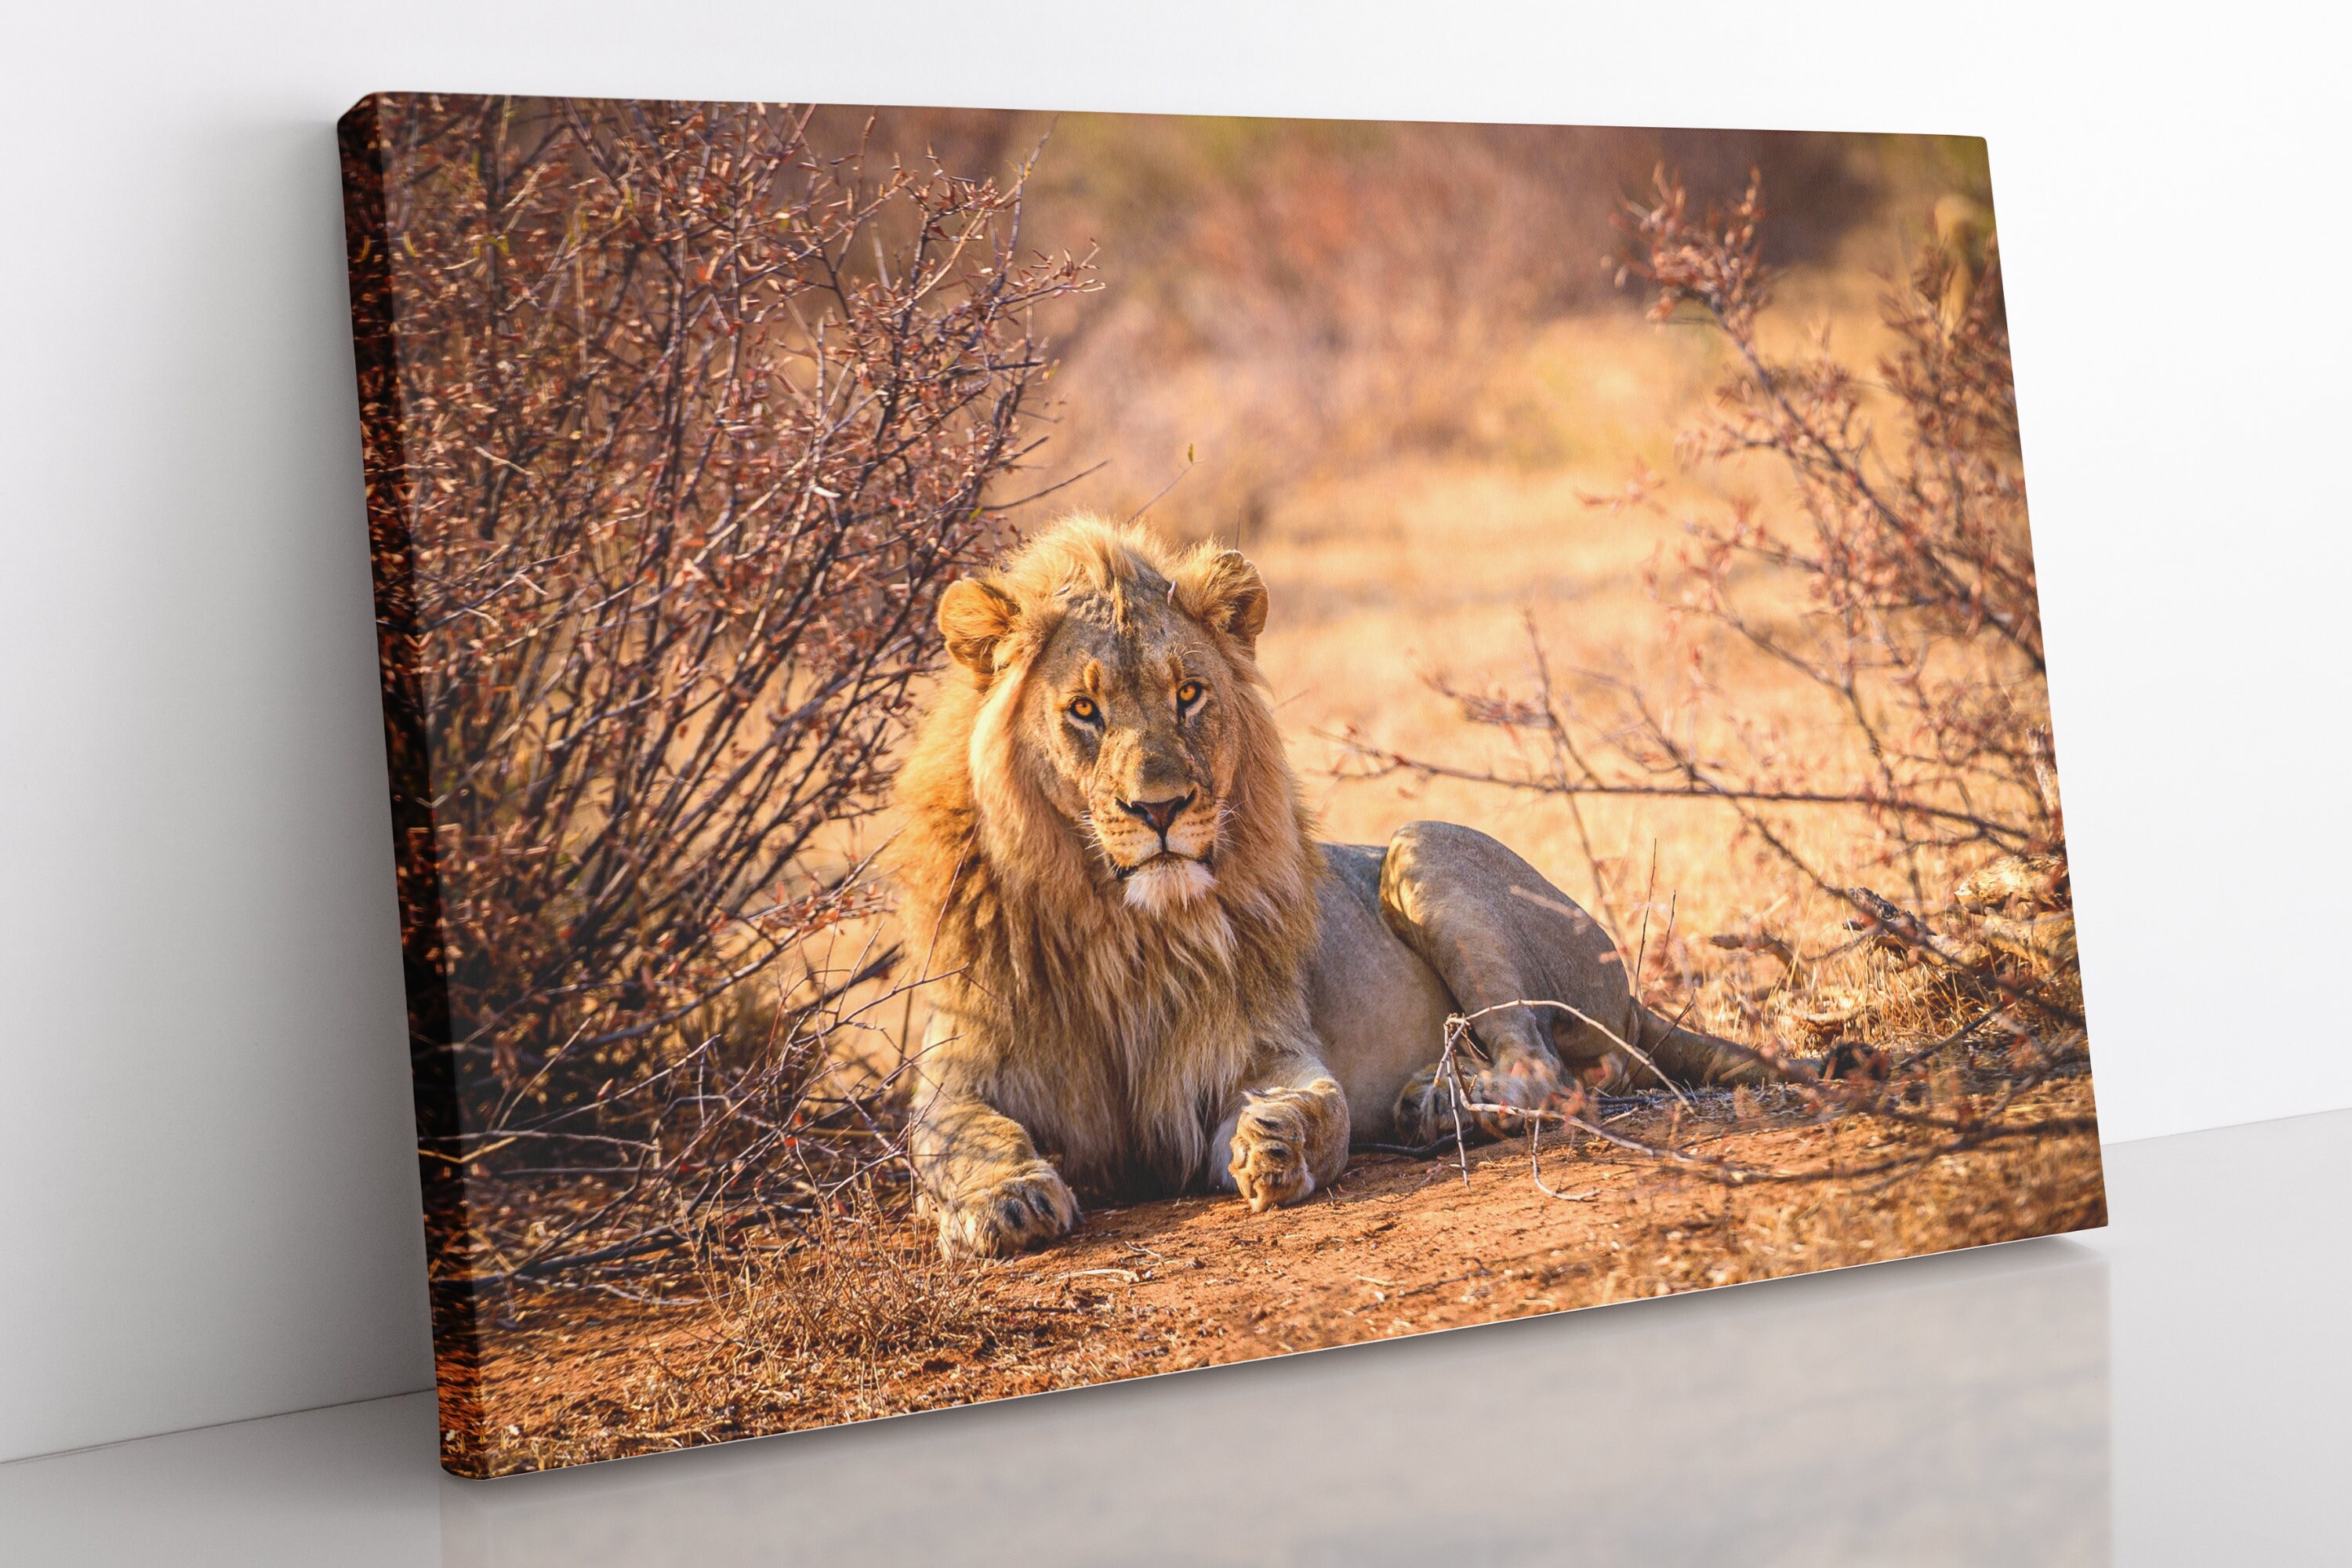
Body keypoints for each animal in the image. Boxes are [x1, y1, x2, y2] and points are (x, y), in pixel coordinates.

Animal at [895, 515, 1782, 1260]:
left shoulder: (1254, 1050)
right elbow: (955, 1136)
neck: (1123, 930)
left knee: (1550, 1074)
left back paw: (1440, 1103)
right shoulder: (959, 1070)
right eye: (1083, 709)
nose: (1162, 807)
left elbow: (1324, 1104)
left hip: (1422, 847)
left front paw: (1278, 1142)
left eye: (1189, 694)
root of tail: (1631, 996)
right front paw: (1007, 1200)